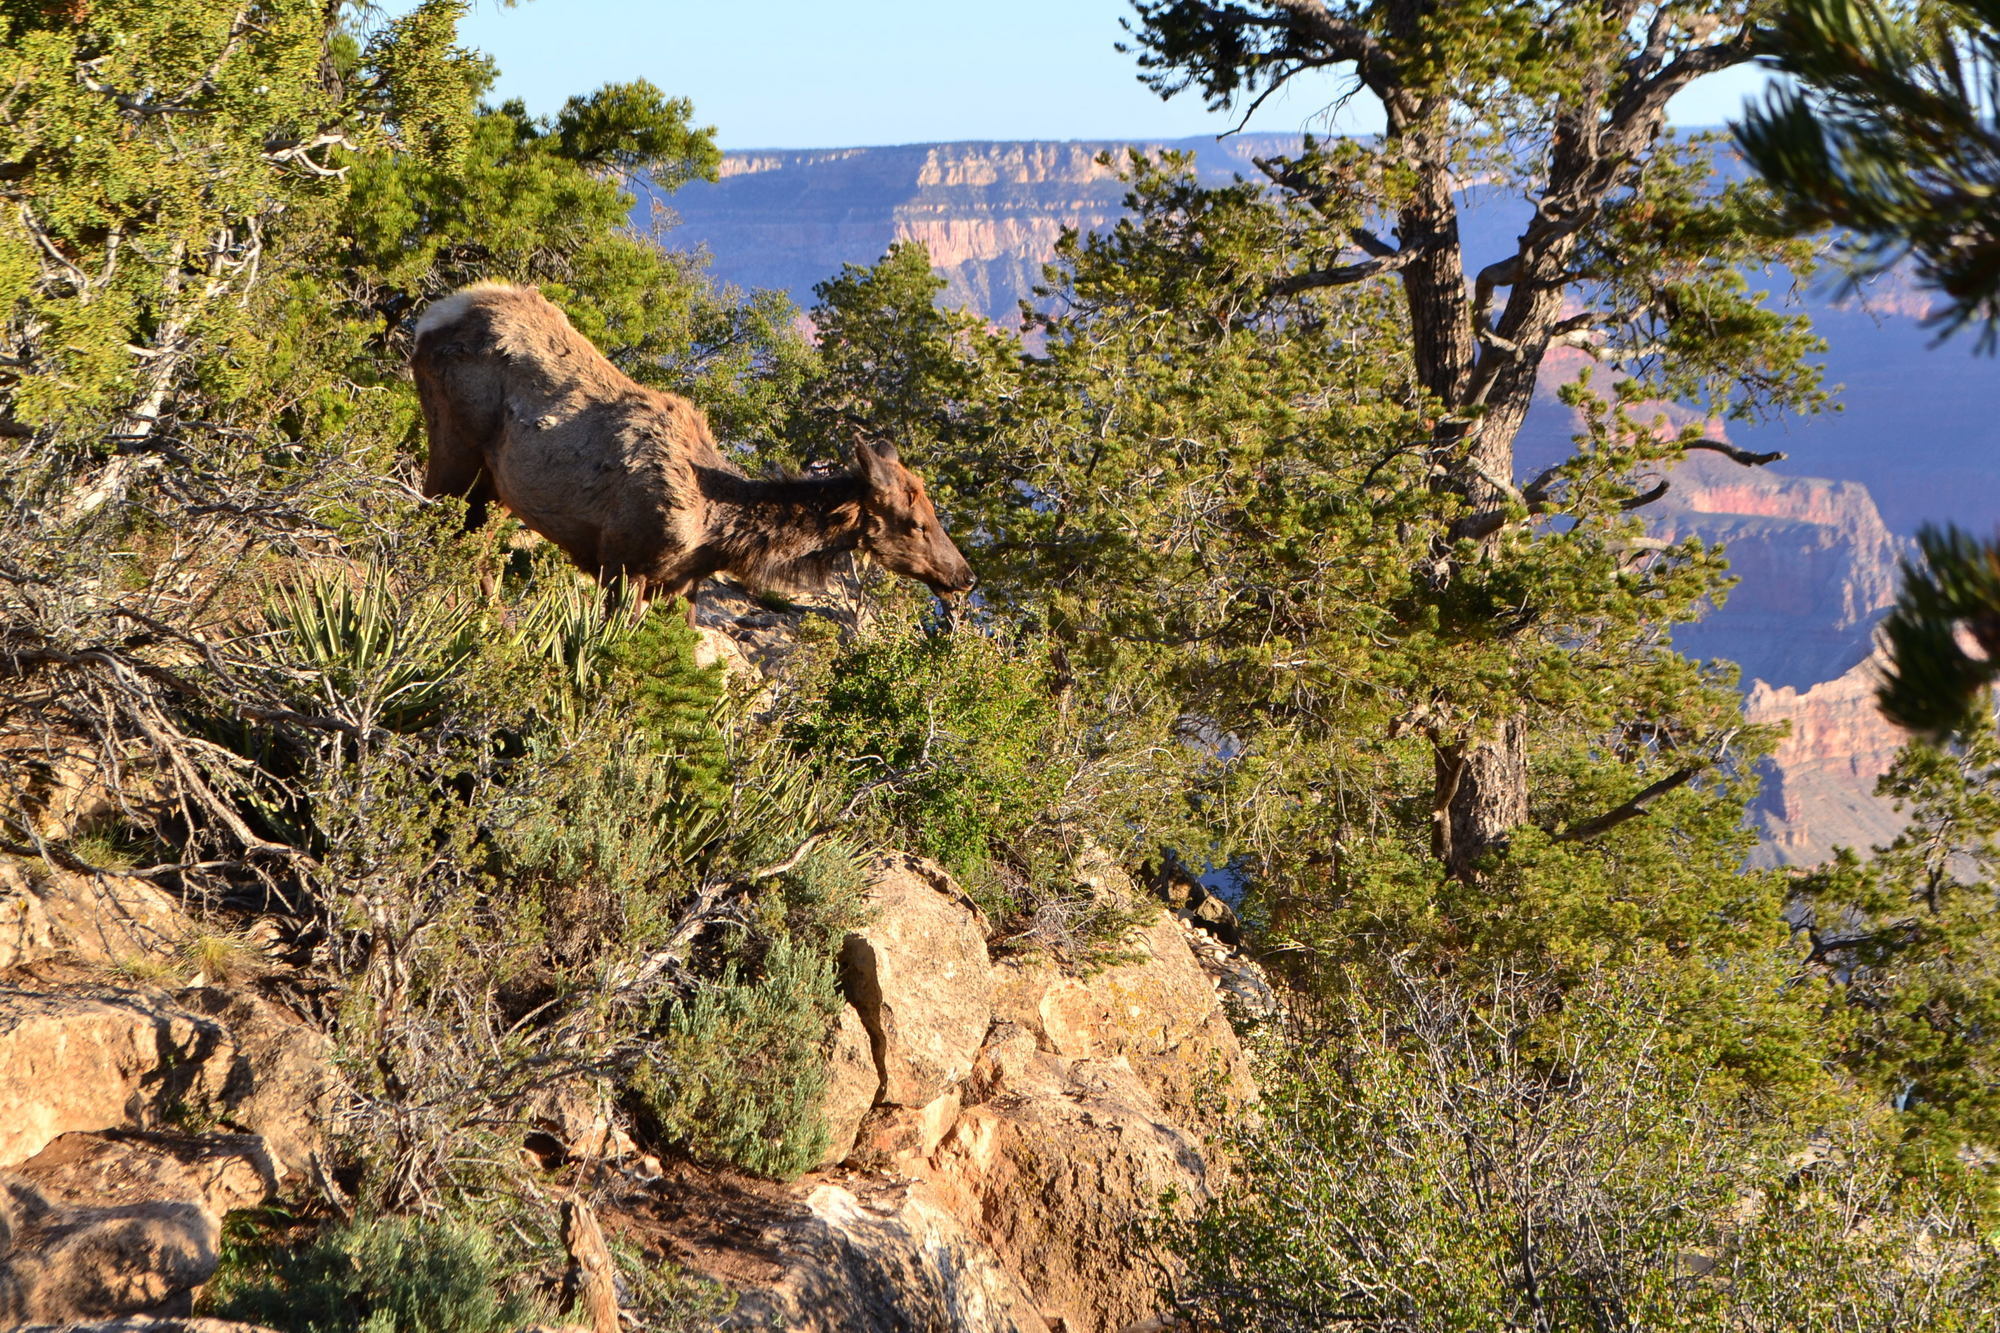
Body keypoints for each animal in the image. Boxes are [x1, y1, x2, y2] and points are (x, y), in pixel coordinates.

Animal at [409, 281, 974, 618]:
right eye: (915, 523)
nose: (963, 577)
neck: (712, 531)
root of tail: (431, 316)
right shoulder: (622, 561)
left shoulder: (682, 585)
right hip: (456, 451)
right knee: (432, 527)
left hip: (498, 489)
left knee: (479, 550)